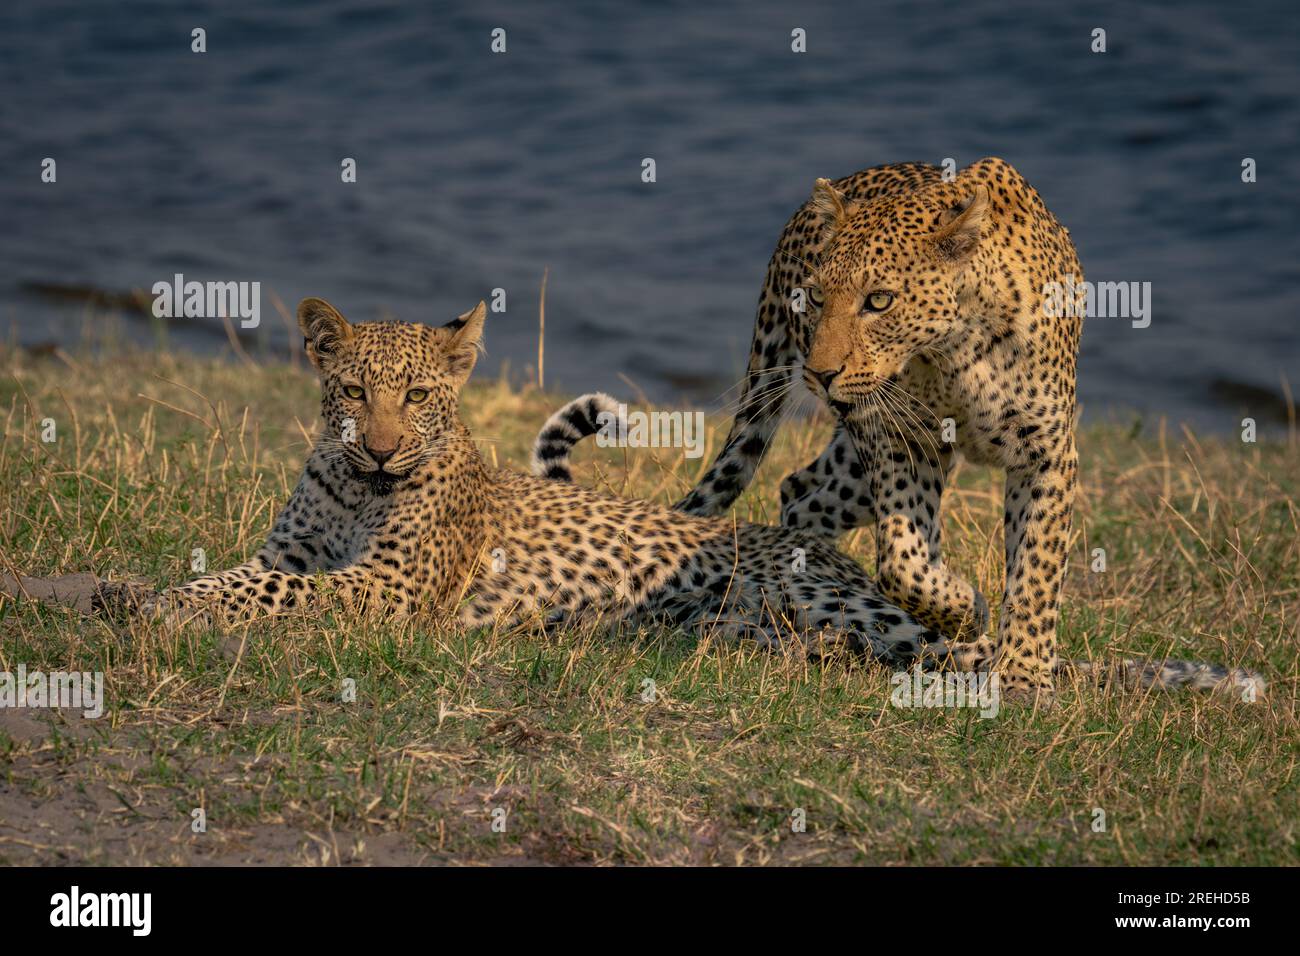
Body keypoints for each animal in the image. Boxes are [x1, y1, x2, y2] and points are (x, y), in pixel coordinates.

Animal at [95, 296, 1262, 699]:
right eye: (352, 394)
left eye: (419, 398)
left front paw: (164, 605)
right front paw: (133, 591)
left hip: (830, 588)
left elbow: (271, 599)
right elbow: (246, 578)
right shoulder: (294, 550)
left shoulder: (379, 589)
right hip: (740, 619)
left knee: (942, 655)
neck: (347, 485)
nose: (380, 449)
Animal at [675, 156, 1097, 700]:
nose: (820, 373)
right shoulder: (901, 440)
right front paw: (963, 610)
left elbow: (1036, 570)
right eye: (816, 296)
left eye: (878, 300)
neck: (956, 351)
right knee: (802, 494)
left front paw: (1024, 675)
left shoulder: (1045, 452)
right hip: (858, 444)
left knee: (801, 491)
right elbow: (902, 561)